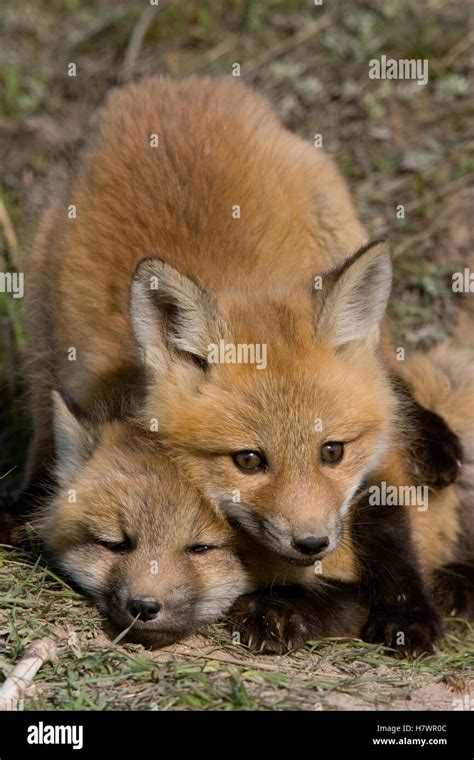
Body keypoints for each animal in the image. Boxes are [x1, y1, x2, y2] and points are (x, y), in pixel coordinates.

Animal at [19, 76, 462, 653]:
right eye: (248, 460)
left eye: (332, 451)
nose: (312, 543)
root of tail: (174, 85)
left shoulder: (365, 467)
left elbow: (386, 514)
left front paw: (403, 611)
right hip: (40, 312)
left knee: (389, 374)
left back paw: (436, 442)